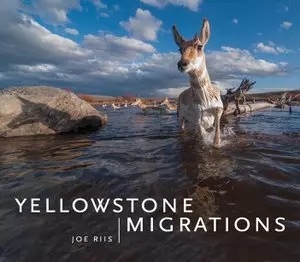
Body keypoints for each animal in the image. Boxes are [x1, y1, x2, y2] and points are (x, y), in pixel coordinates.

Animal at [173, 18, 223, 148]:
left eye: (199, 46)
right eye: (180, 49)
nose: (182, 63)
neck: (205, 100)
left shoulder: (218, 110)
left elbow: (216, 135)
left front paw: (216, 143)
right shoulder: (198, 121)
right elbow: (203, 138)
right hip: (181, 118)